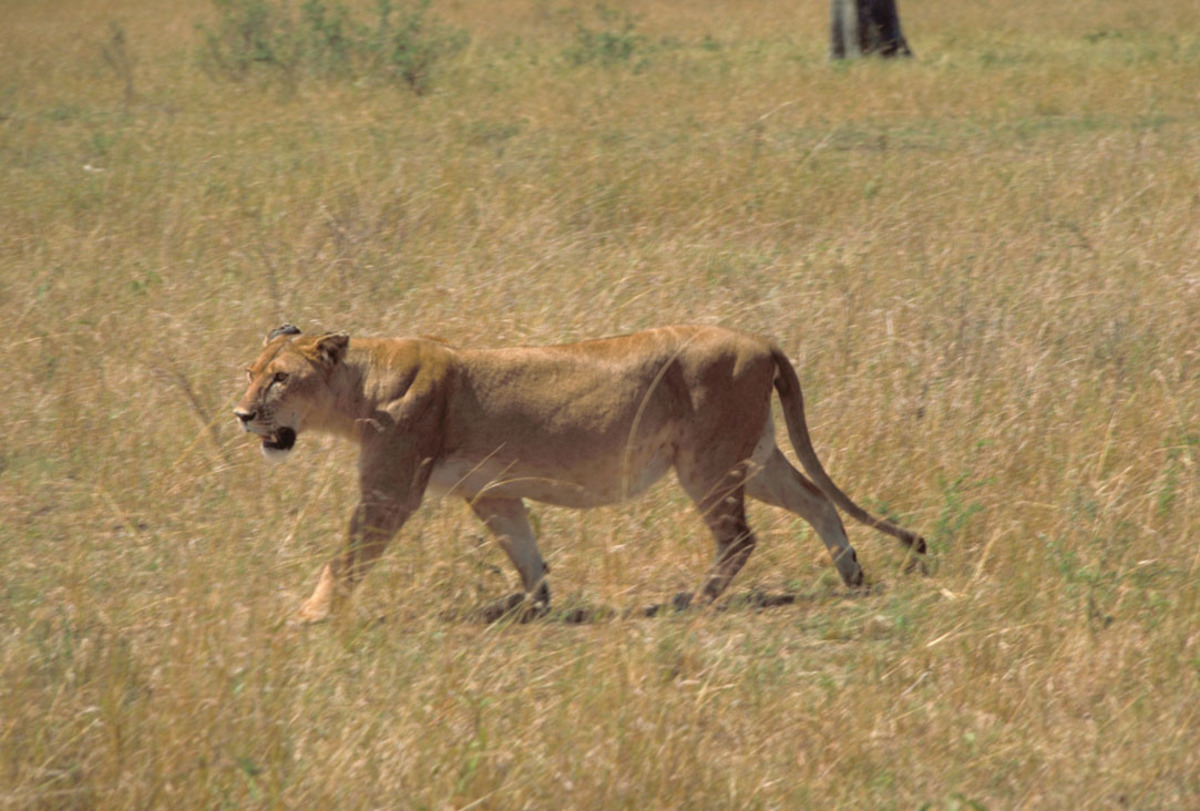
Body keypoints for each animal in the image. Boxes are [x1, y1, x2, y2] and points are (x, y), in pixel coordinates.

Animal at [234, 324, 925, 623]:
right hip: (751, 459)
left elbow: (345, 557)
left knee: (741, 538)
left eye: (280, 378)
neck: (361, 386)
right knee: (817, 501)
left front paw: (310, 615)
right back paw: (853, 577)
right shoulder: (489, 492)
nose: (240, 415)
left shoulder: (389, 493)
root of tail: (760, 339)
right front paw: (528, 606)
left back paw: (691, 601)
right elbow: (525, 552)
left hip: (707, 462)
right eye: (249, 371)